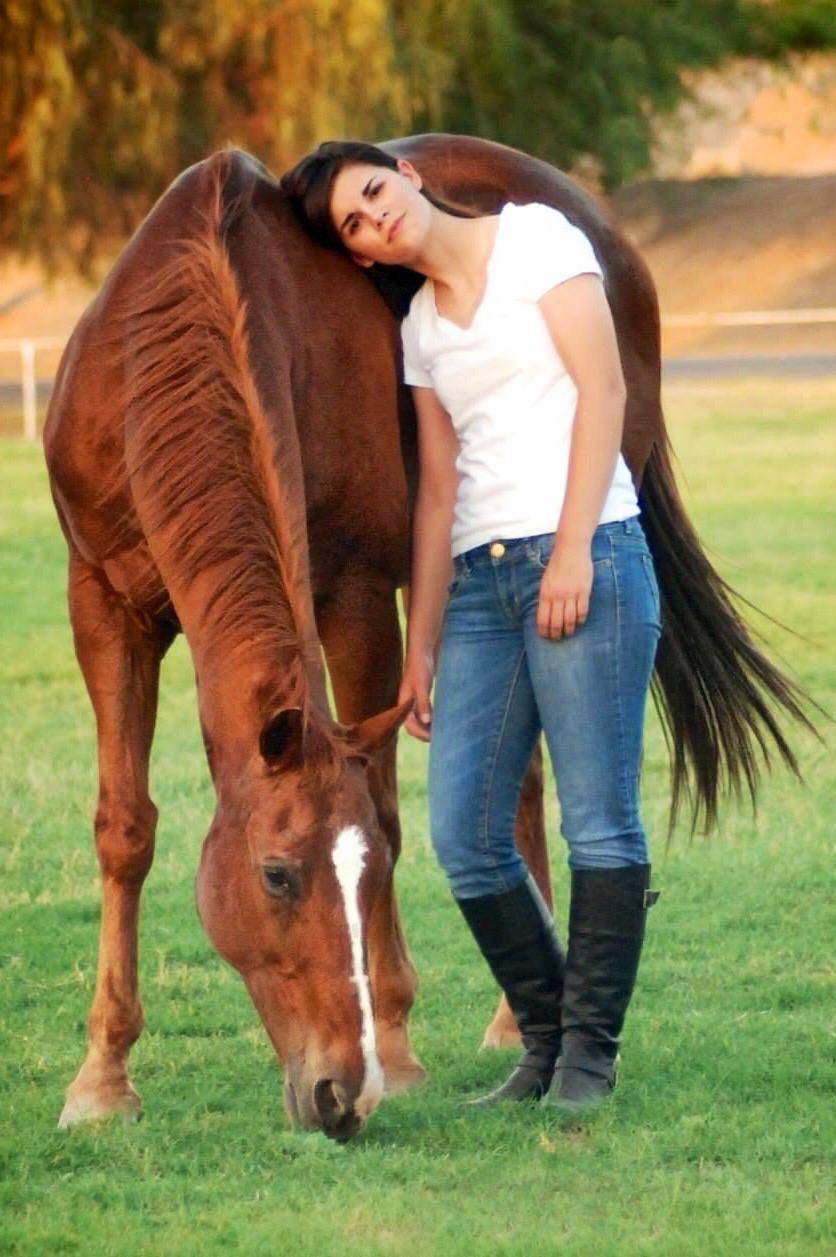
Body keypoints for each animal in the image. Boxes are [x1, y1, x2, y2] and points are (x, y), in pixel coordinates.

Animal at [43, 133, 811, 1141]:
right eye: (277, 875)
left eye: (360, 875)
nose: (339, 1092)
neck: (165, 349)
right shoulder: (102, 603)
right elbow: (124, 830)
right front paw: (101, 1077)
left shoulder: (354, 594)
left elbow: (389, 806)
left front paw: (398, 1053)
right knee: (520, 779)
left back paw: (517, 1025)